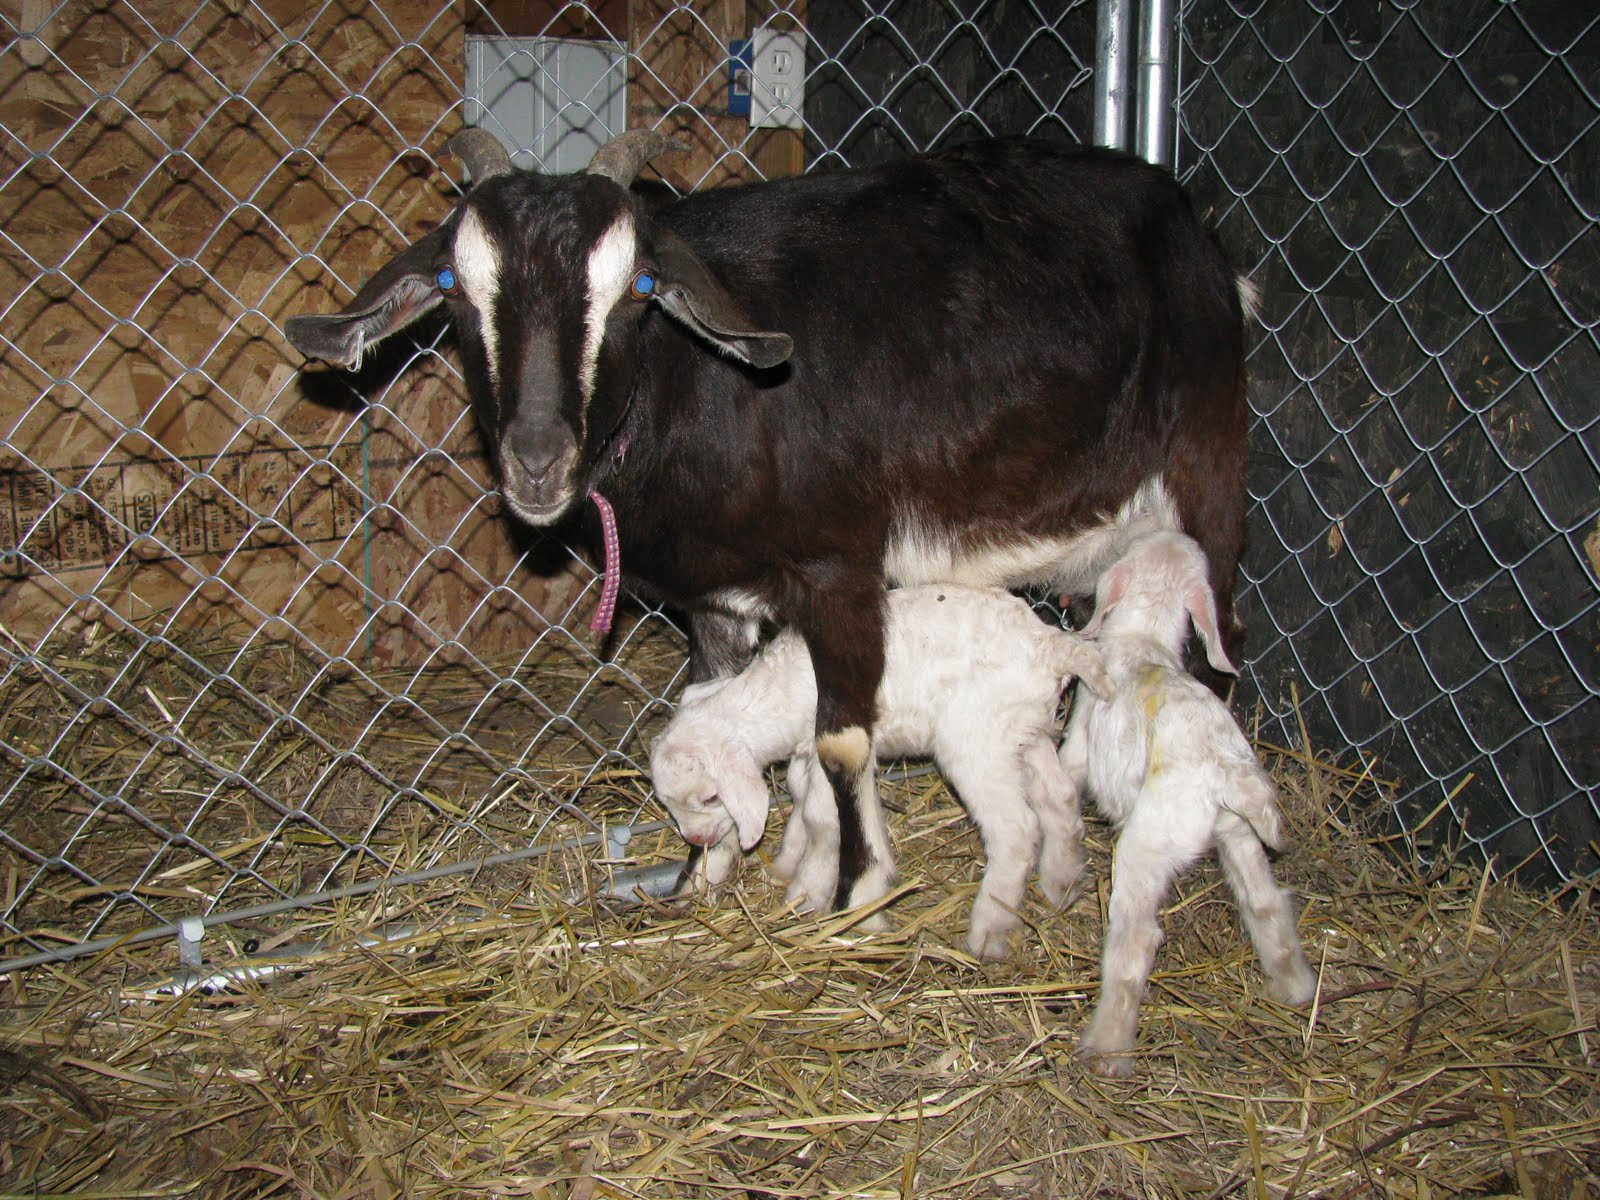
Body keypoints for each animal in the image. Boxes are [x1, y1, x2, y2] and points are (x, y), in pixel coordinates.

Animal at [285, 128, 1253, 920]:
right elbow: (709, 705)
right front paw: (700, 878)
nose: (536, 456)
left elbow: (842, 740)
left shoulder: (841, 569)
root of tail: (1193, 220)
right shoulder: (715, 598)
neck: (693, 388)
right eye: (455, 283)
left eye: (639, 287)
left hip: (1209, 464)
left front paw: (855, 898)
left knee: (1221, 641)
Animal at [649, 584, 1109, 958]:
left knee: (1016, 830)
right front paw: (788, 864)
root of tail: (1050, 647)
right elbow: (799, 795)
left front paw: (807, 893)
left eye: (709, 797)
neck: (779, 693)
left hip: (977, 742)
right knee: (1059, 797)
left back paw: (989, 929)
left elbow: (821, 819)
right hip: (1025, 730)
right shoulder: (808, 753)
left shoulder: (833, 748)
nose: (696, 840)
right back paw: (1063, 884)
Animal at [1059, 531, 1317, 1077]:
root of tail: (1225, 773)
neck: (1145, 640)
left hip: (1148, 845)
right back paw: (1296, 988)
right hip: (1238, 833)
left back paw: (1107, 1049)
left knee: (1137, 941)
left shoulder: (1080, 738)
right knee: (1265, 902)